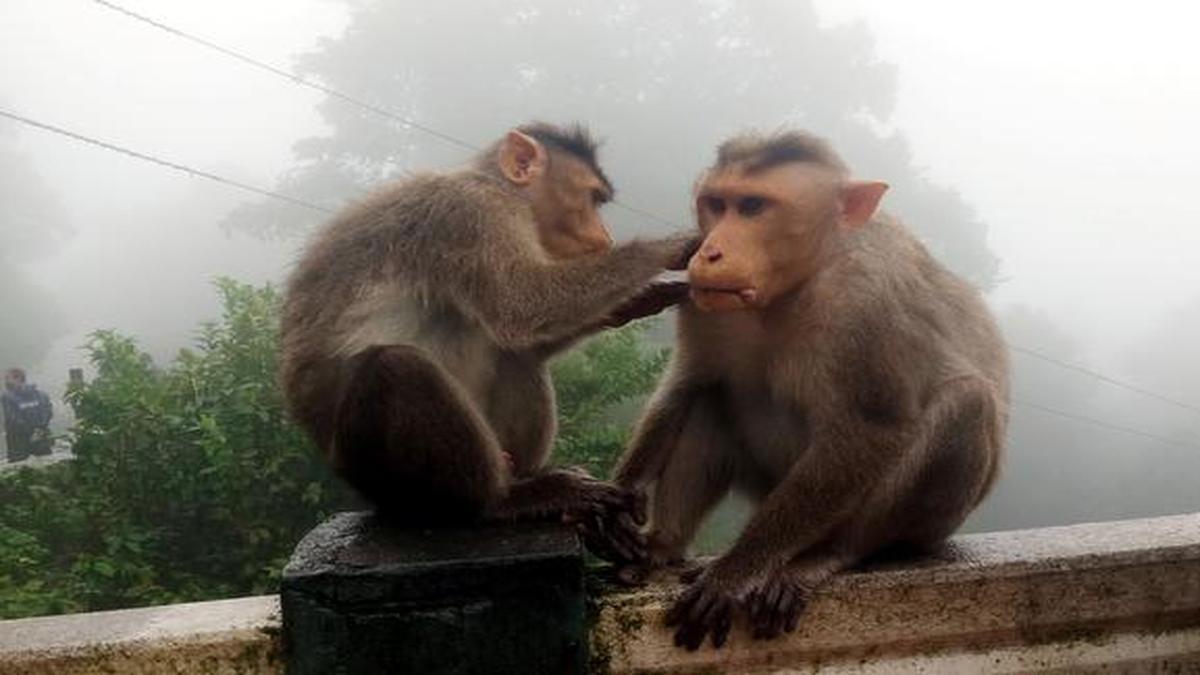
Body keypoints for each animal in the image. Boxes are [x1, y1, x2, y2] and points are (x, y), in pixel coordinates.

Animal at [279, 122, 696, 560]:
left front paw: (638, 299)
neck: (498, 186)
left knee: (518, 361)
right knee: (395, 366)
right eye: (593, 199)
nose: (605, 237)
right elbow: (519, 304)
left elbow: (520, 336)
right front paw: (668, 247)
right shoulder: (473, 212)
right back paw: (503, 501)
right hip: (378, 476)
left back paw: (537, 483)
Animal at [610, 130, 1008, 650]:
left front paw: (734, 571)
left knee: (968, 402)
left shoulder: (864, 304)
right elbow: (689, 383)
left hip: (916, 526)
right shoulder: (701, 302)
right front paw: (618, 502)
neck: (796, 284)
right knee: (713, 400)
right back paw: (663, 547)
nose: (708, 253)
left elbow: (871, 430)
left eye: (754, 206)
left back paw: (827, 557)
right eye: (716, 204)